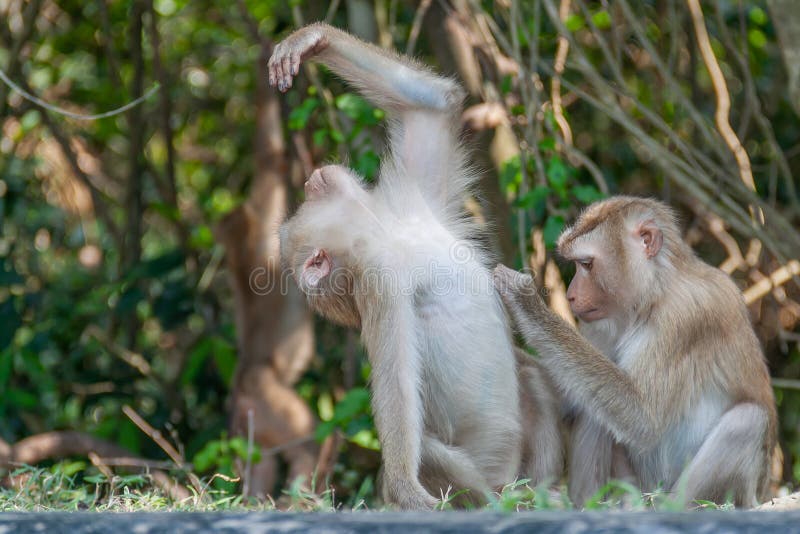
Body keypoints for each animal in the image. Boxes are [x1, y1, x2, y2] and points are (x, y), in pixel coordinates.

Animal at [269, 23, 563, 509]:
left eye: (302, 205)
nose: (312, 179)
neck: (387, 233)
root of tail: (505, 478)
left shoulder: (415, 196)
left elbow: (436, 101)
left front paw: (311, 40)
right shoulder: (376, 280)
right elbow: (399, 381)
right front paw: (405, 489)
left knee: (535, 377)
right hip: (481, 478)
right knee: (432, 449)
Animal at [493, 196, 777, 508]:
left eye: (586, 264)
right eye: (578, 265)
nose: (570, 295)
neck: (655, 293)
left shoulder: (686, 317)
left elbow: (643, 417)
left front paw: (525, 301)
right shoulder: (601, 324)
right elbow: (571, 400)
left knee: (747, 421)